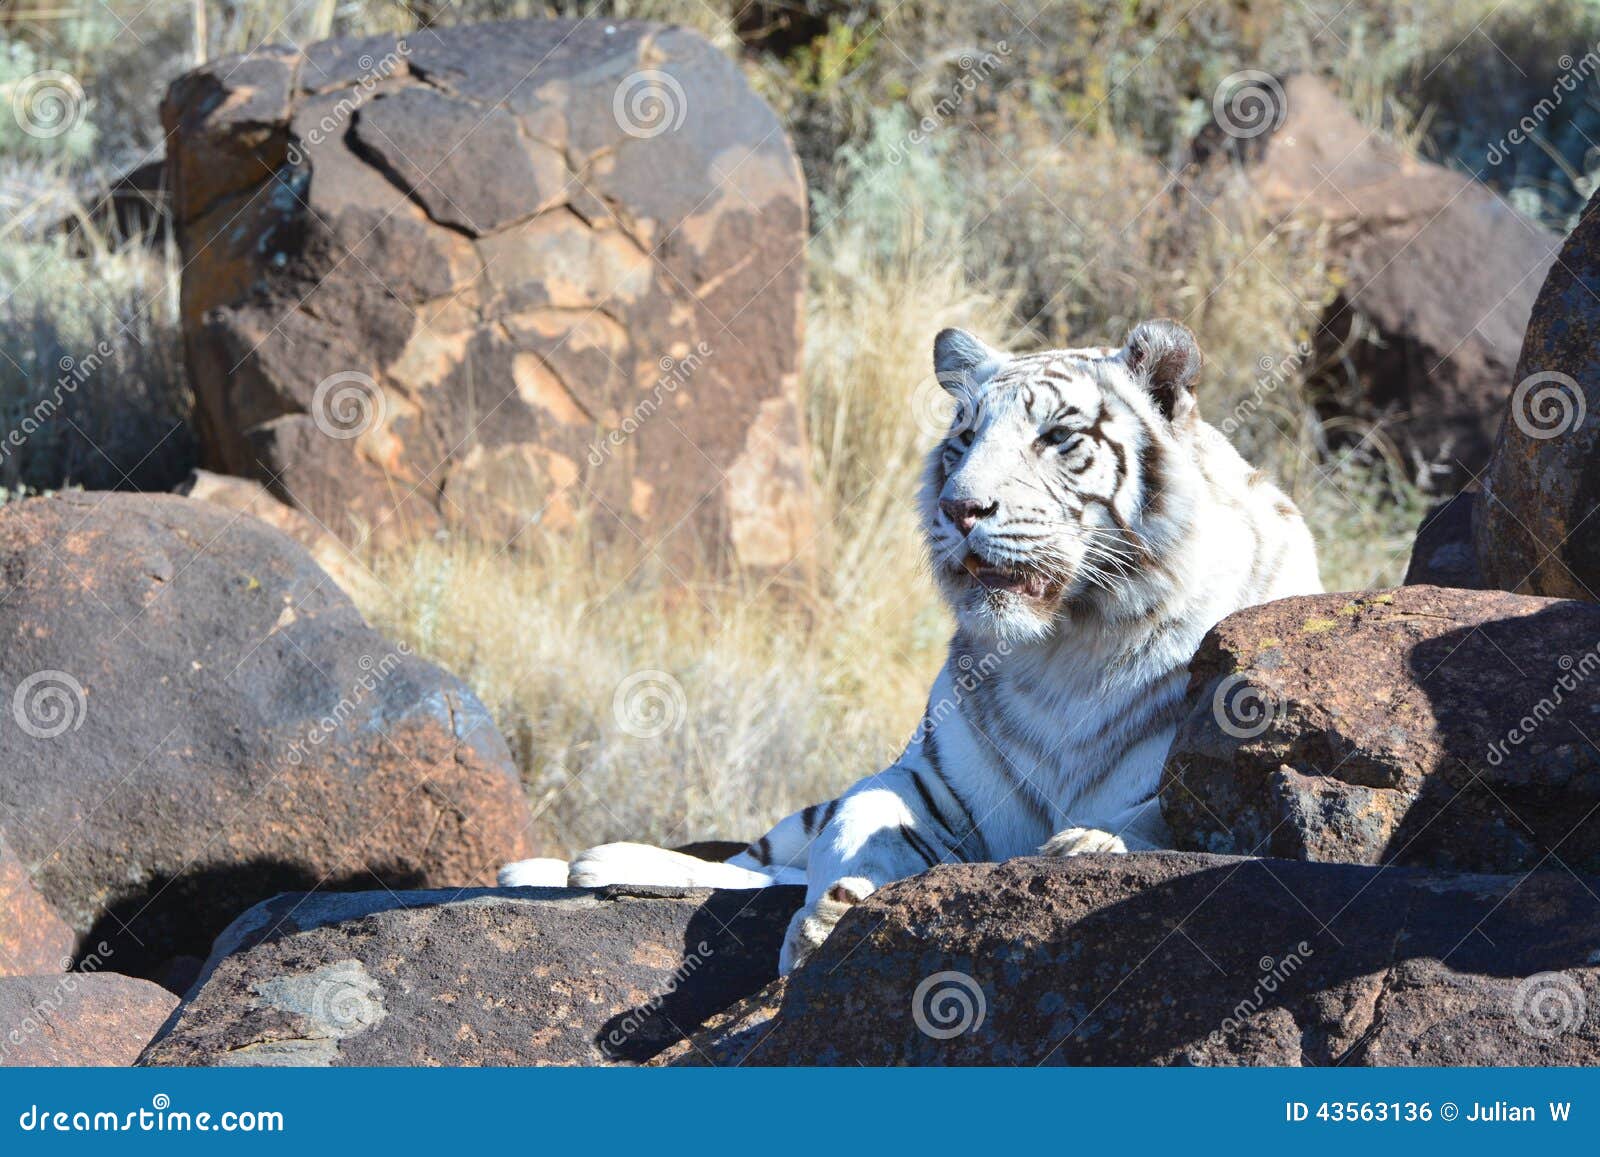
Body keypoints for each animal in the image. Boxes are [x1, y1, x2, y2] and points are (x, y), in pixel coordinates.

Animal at [500, 319, 1321, 973]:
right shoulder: (927, 777)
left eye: (1056, 438)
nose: (960, 508)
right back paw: (568, 865)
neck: (1070, 649)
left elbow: (1156, 818)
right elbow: (860, 827)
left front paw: (1086, 847)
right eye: (962, 440)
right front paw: (829, 918)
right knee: (756, 860)